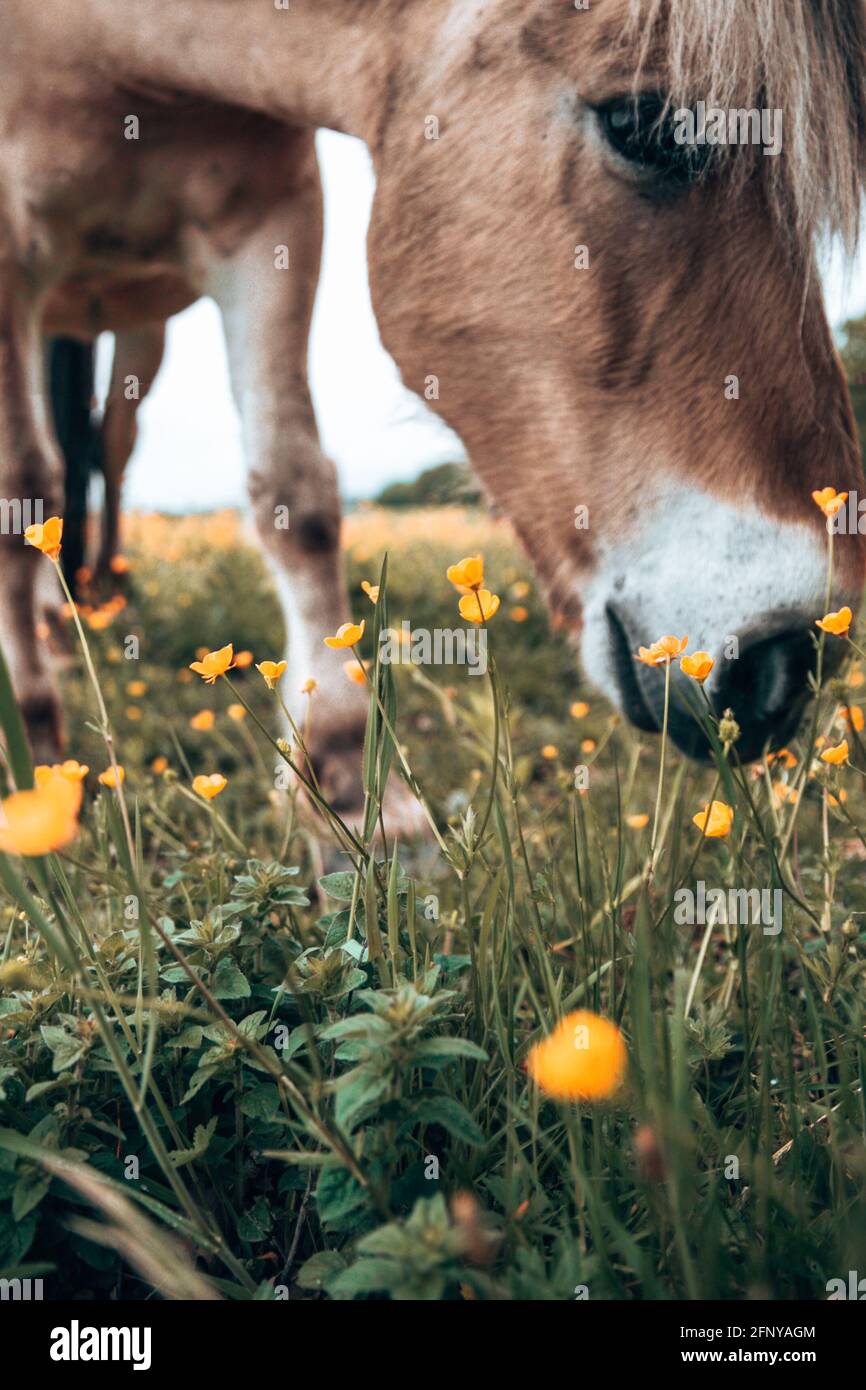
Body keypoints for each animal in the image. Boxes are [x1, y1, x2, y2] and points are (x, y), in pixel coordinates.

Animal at [2, 0, 866, 817]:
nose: (787, 667)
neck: (112, 58)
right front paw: (38, 767)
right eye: (643, 126)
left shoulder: (272, 224)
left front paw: (358, 794)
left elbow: (295, 493)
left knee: (110, 448)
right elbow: (23, 490)